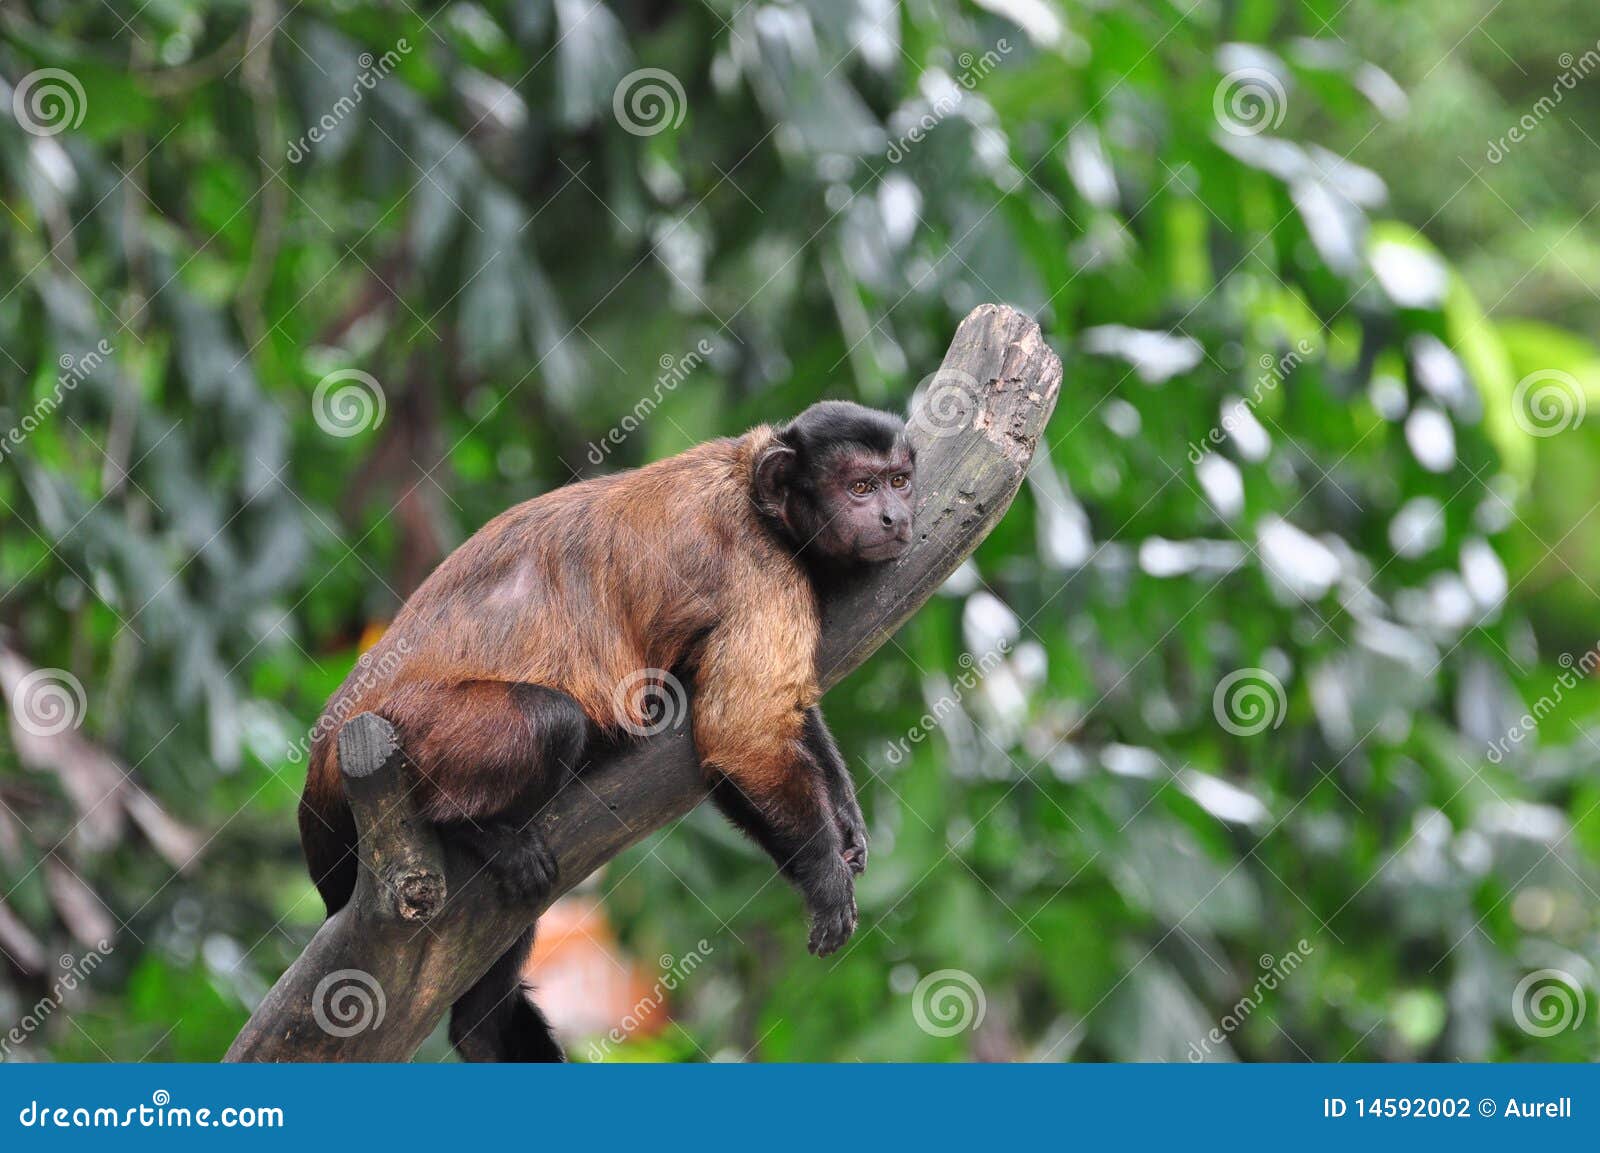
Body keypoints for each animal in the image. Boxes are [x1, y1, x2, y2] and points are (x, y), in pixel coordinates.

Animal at [297, 400, 916, 1062]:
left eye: (899, 481)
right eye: (861, 487)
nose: (894, 515)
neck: (757, 496)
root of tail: (325, 752)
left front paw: (844, 820)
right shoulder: (762, 569)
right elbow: (740, 735)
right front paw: (825, 877)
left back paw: (484, 1027)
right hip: (406, 729)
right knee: (553, 721)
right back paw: (466, 828)